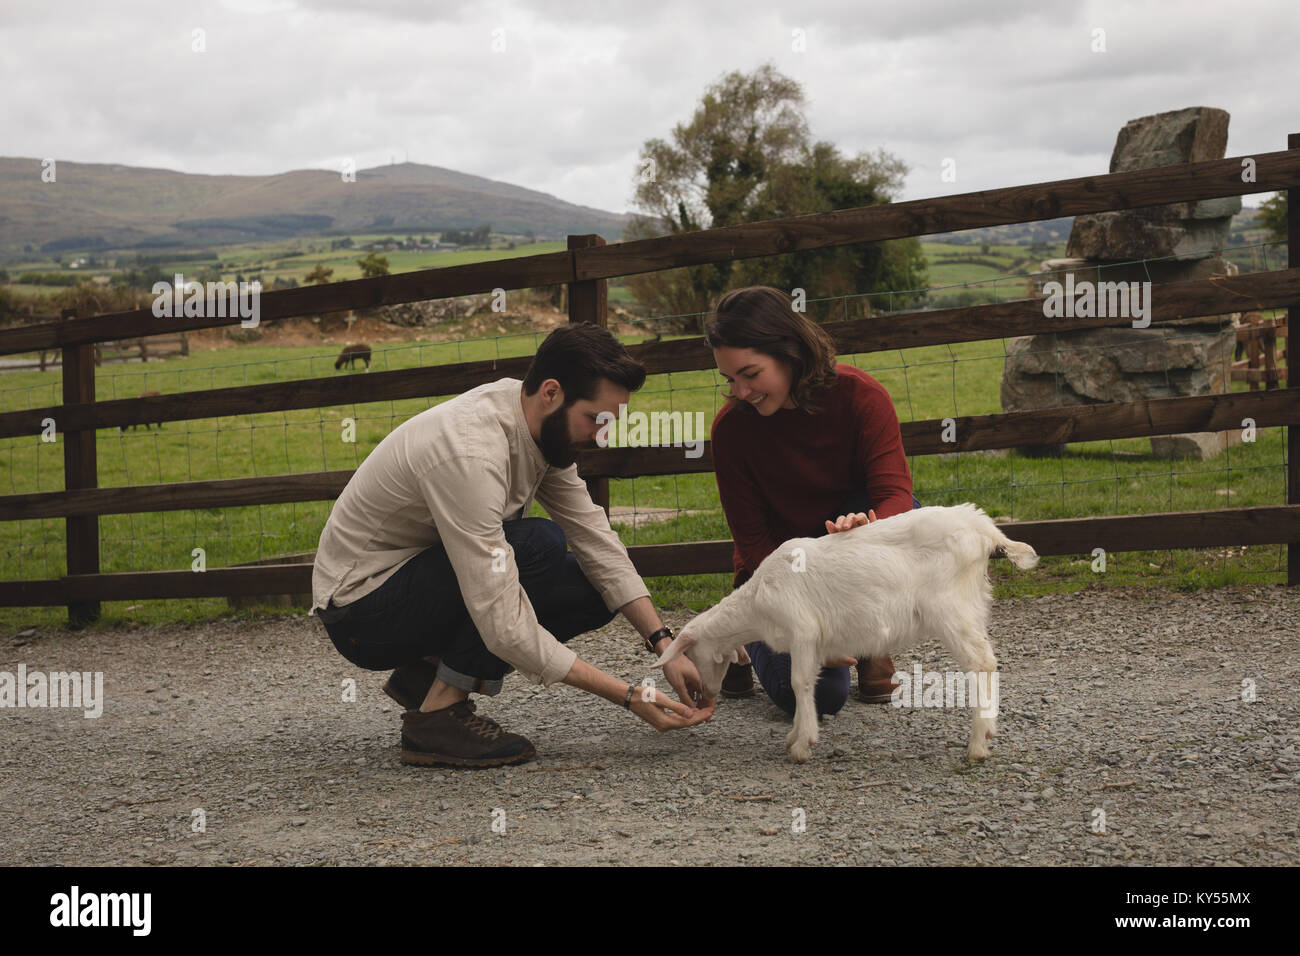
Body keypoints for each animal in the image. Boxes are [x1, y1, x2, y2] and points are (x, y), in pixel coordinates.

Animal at [656, 503, 1038, 764]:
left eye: (692, 654)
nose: (705, 697)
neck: (758, 602)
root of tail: (983, 528)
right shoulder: (809, 643)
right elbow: (806, 683)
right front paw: (796, 734)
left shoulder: (803, 630)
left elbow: (799, 683)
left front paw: (802, 745)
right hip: (971, 606)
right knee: (987, 661)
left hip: (951, 608)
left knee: (981, 663)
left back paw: (978, 744)